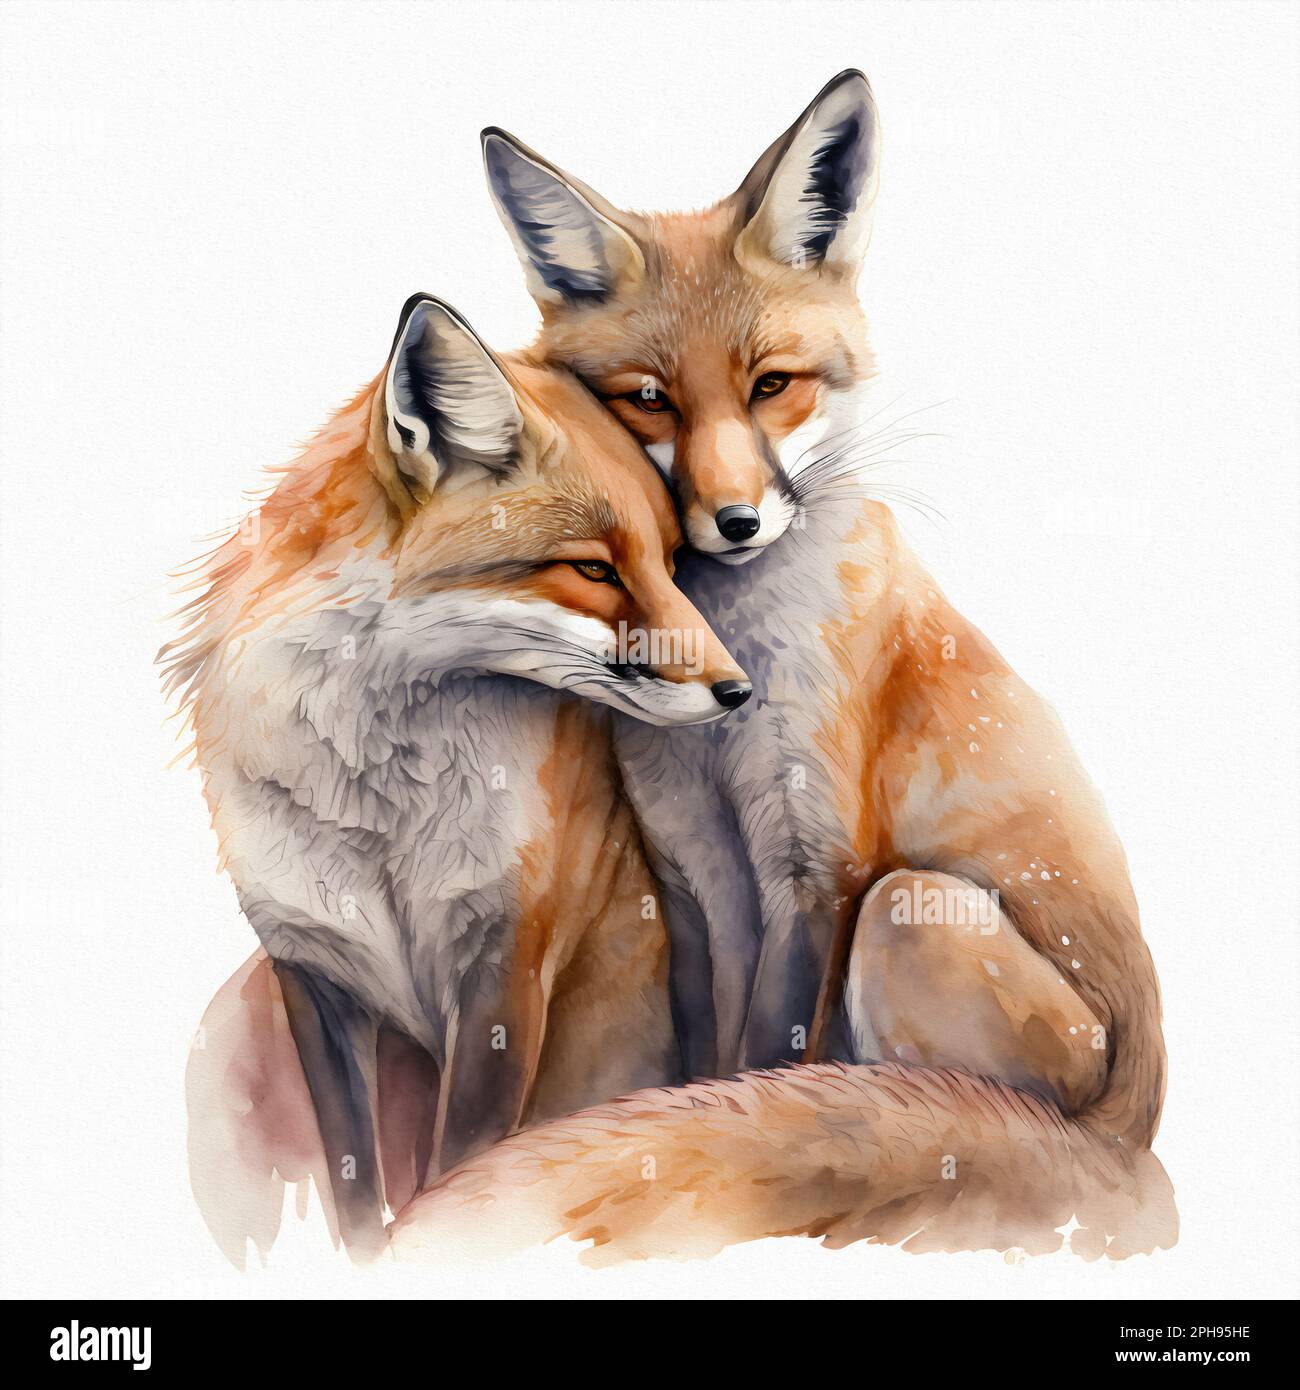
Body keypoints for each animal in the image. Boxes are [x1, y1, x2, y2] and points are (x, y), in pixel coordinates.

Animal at [163, 293, 751, 1258]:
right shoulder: (313, 969)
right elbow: (357, 1193)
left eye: (672, 565)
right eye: (593, 569)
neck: (379, 818)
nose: (740, 691)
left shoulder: (506, 964)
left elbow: (457, 1178)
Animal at [400, 69, 1178, 1258]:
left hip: (906, 911)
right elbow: (709, 1055)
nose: (733, 523)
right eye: (648, 398)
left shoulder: (821, 867)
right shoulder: (694, 871)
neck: (739, 690)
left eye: (773, 385)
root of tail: (1141, 1117)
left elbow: (773, 1058)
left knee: (980, 1126)